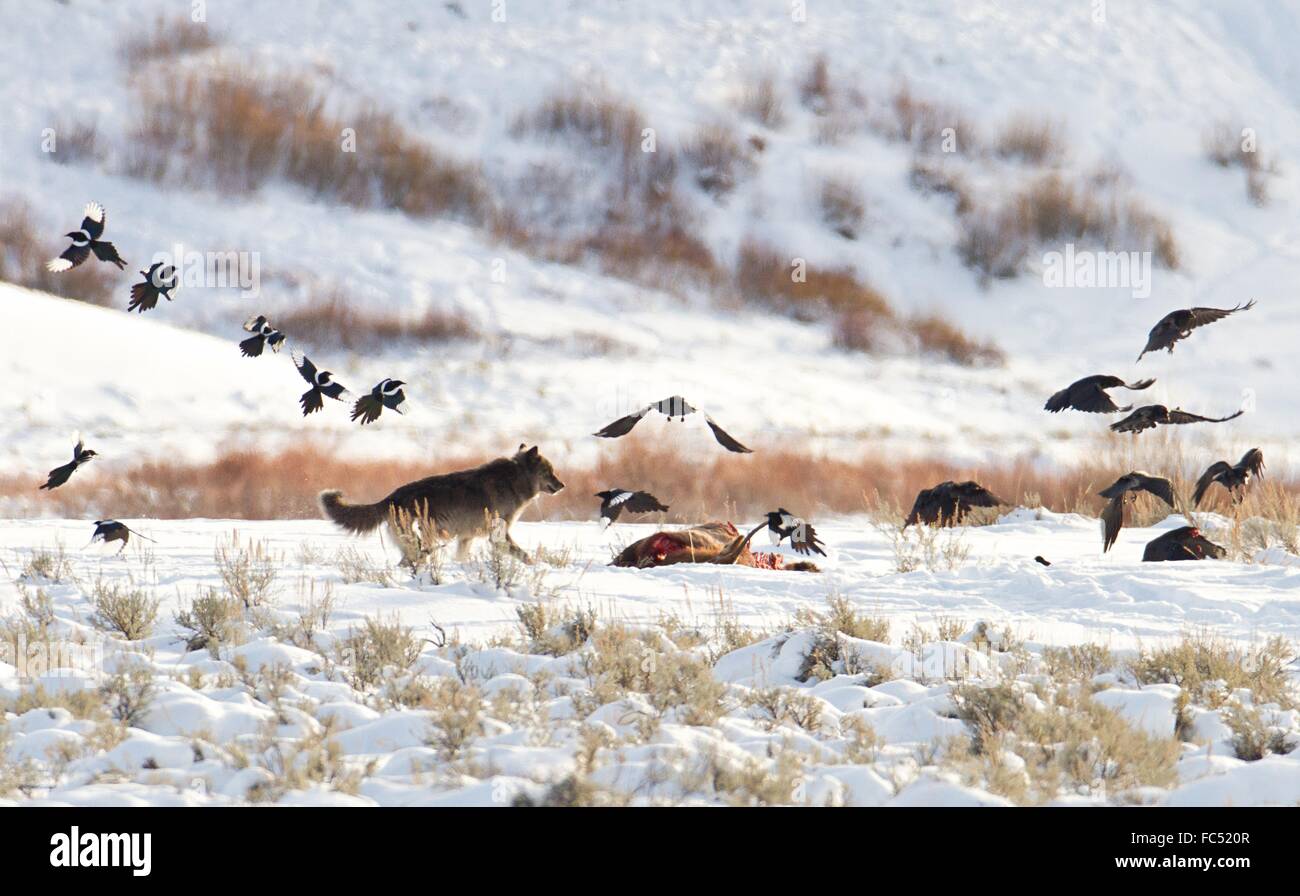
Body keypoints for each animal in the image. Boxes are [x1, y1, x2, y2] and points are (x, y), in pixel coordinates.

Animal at [318, 445, 565, 560]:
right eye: (550, 472)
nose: (563, 485)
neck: (515, 480)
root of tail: (391, 497)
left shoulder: (466, 538)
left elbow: (461, 559)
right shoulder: (498, 536)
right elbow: (526, 557)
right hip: (422, 544)